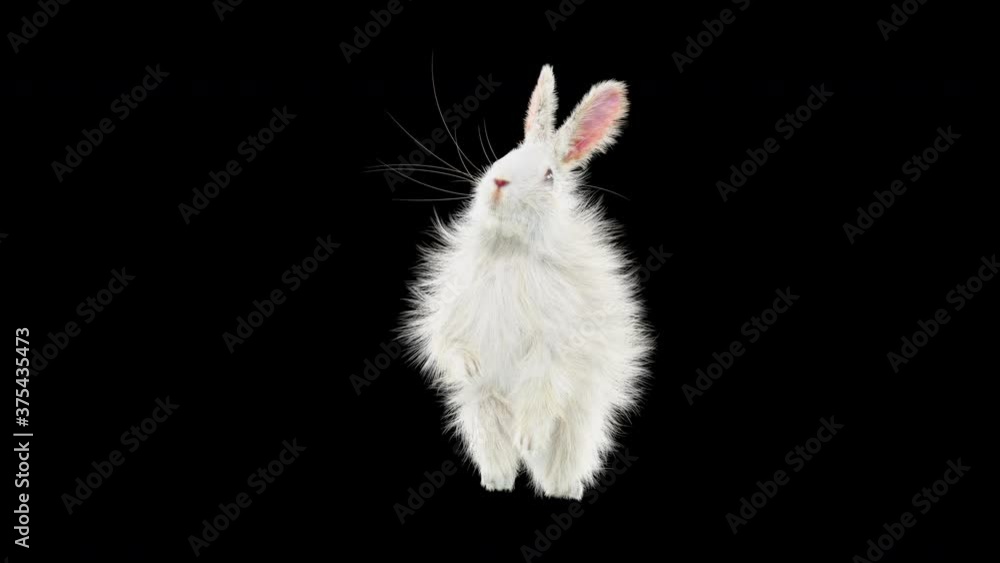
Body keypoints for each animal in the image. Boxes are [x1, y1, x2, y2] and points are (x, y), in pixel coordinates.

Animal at [400, 65, 653, 500]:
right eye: (505, 155)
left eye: (549, 176)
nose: (499, 182)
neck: (510, 249)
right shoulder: (450, 311)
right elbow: (447, 344)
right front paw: (470, 367)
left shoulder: (555, 348)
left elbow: (543, 386)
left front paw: (530, 437)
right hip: (481, 416)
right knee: (496, 448)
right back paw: (498, 482)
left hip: (576, 428)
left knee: (560, 453)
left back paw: (557, 484)